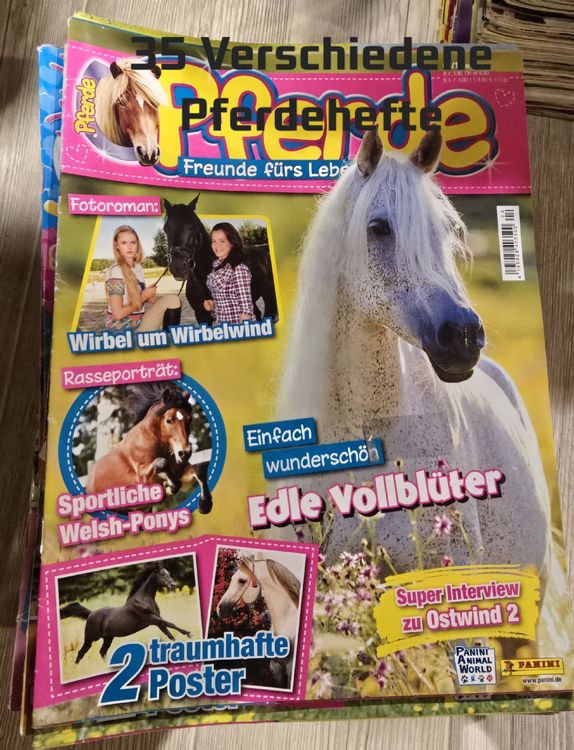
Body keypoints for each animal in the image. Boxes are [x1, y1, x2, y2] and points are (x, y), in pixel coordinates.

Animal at [60, 562, 190, 664]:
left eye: (169, 573)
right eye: (162, 574)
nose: (173, 585)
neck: (143, 599)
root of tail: (91, 614)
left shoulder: (157, 620)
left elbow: (169, 634)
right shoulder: (151, 618)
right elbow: (171, 624)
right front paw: (188, 633)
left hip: (108, 638)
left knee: (102, 652)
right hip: (90, 638)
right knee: (82, 652)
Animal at [86, 384, 212, 514]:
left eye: (190, 419)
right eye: (168, 420)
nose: (184, 453)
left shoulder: (179, 471)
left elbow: (199, 469)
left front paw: (205, 504)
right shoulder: (143, 478)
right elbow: (162, 463)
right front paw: (170, 486)